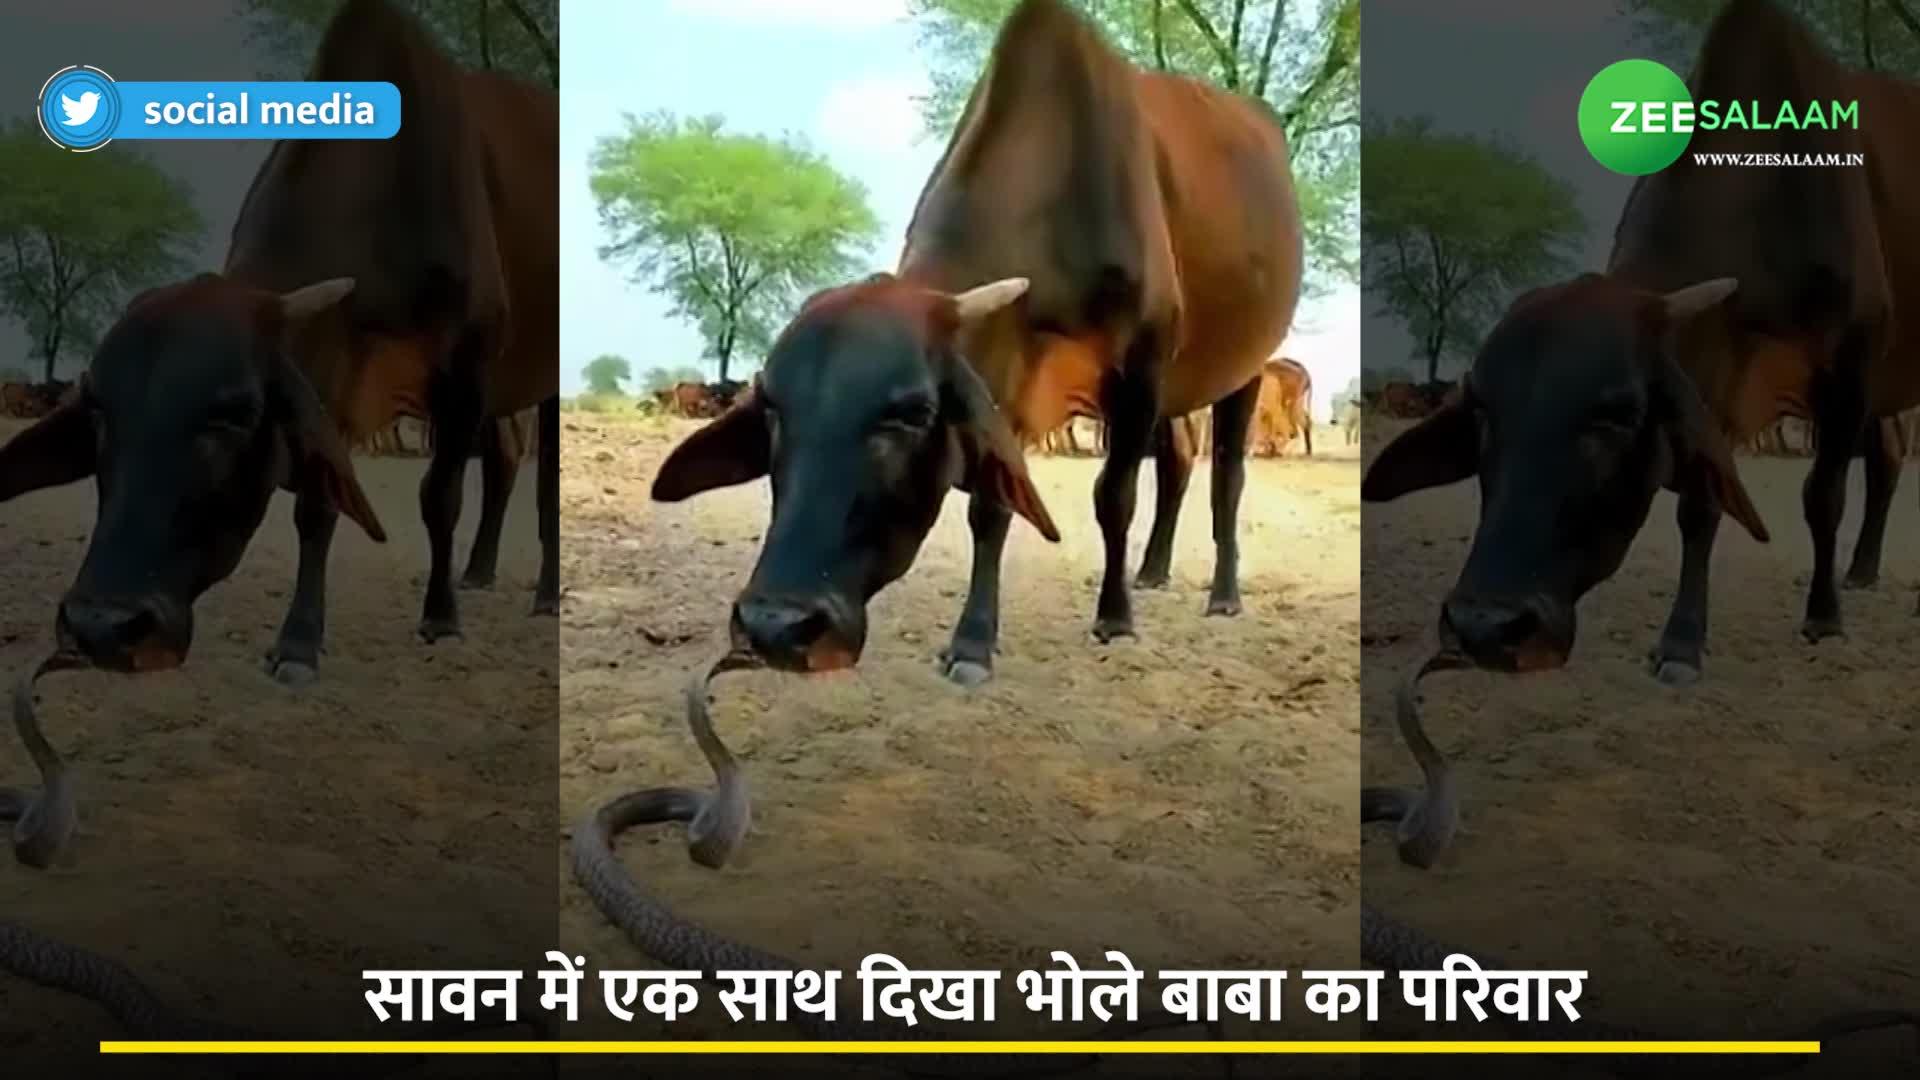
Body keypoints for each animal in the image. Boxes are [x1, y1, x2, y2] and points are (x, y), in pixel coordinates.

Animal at [0, 0, 557, 681]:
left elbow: (440, 497)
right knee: (504, 461)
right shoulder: (332, 374)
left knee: (539, 480)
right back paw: (478, 572)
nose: (101, 625)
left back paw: (545, 594)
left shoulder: (467, 368)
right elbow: (316, 509)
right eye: (100, 410)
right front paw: (298, 641)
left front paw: (440, 618)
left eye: (235, 414)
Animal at [649, 0, 1300, 682]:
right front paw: (972, 641)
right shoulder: (1006, 378)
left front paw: (1114, 618)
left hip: (1243, 370)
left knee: (1225, 478)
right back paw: (1152, 571)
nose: (775, 624)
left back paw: (1222, 594)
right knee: (1176, 463)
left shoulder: (1141, 369)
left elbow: (1114, 496)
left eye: (914, 413)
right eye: (773, 406)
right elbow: (991, 509)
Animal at [1363, 0, 1920, 684]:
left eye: (1618, 415)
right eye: (1484, 412)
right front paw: (1681, 642)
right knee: (1889, 458)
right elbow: (1700, 510)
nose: (1484, 626)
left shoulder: (1851, 369)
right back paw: (1863, 571)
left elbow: (1823, 497)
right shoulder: (1713, 382)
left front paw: (1823, 617)